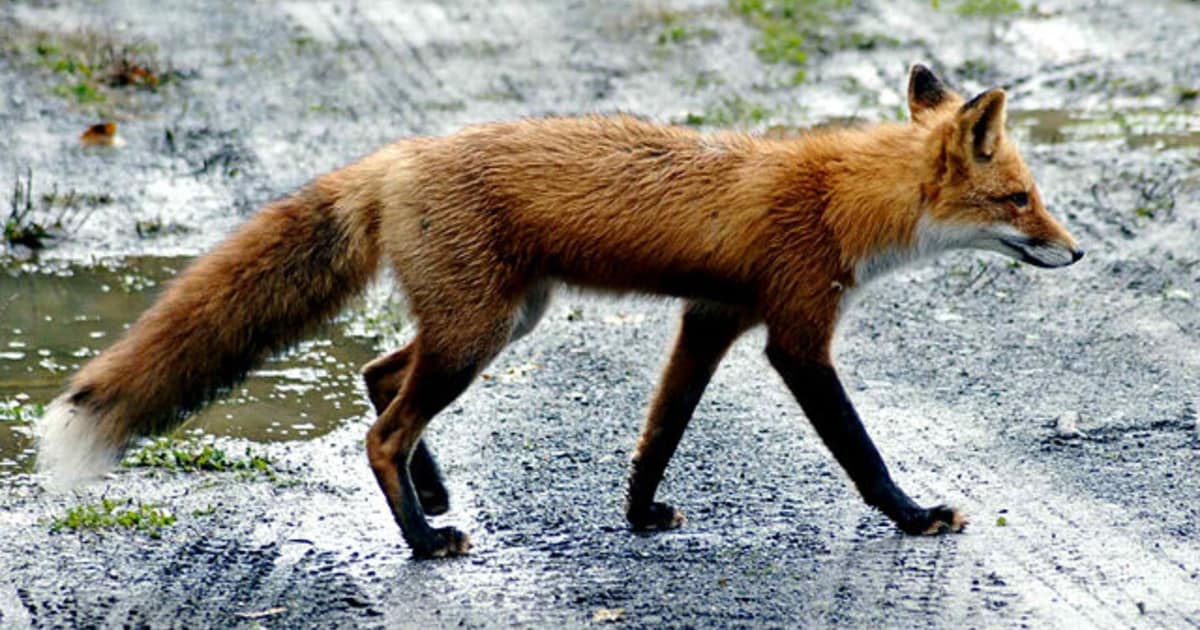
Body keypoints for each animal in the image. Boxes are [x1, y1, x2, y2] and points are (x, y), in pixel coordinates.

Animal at [35, 65, 1082, 558]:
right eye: (1021, 200)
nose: (1078, 253)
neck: (839, 198)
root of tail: (397, 156)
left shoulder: (709, 318)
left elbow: (660, 431)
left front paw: (639, 513)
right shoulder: (795, 334)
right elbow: (860, 454)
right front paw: (913, 517)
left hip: (498, 320)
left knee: (376, 376)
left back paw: (432, 495)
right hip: (480, 333)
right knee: (382, 427)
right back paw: (423, 538)